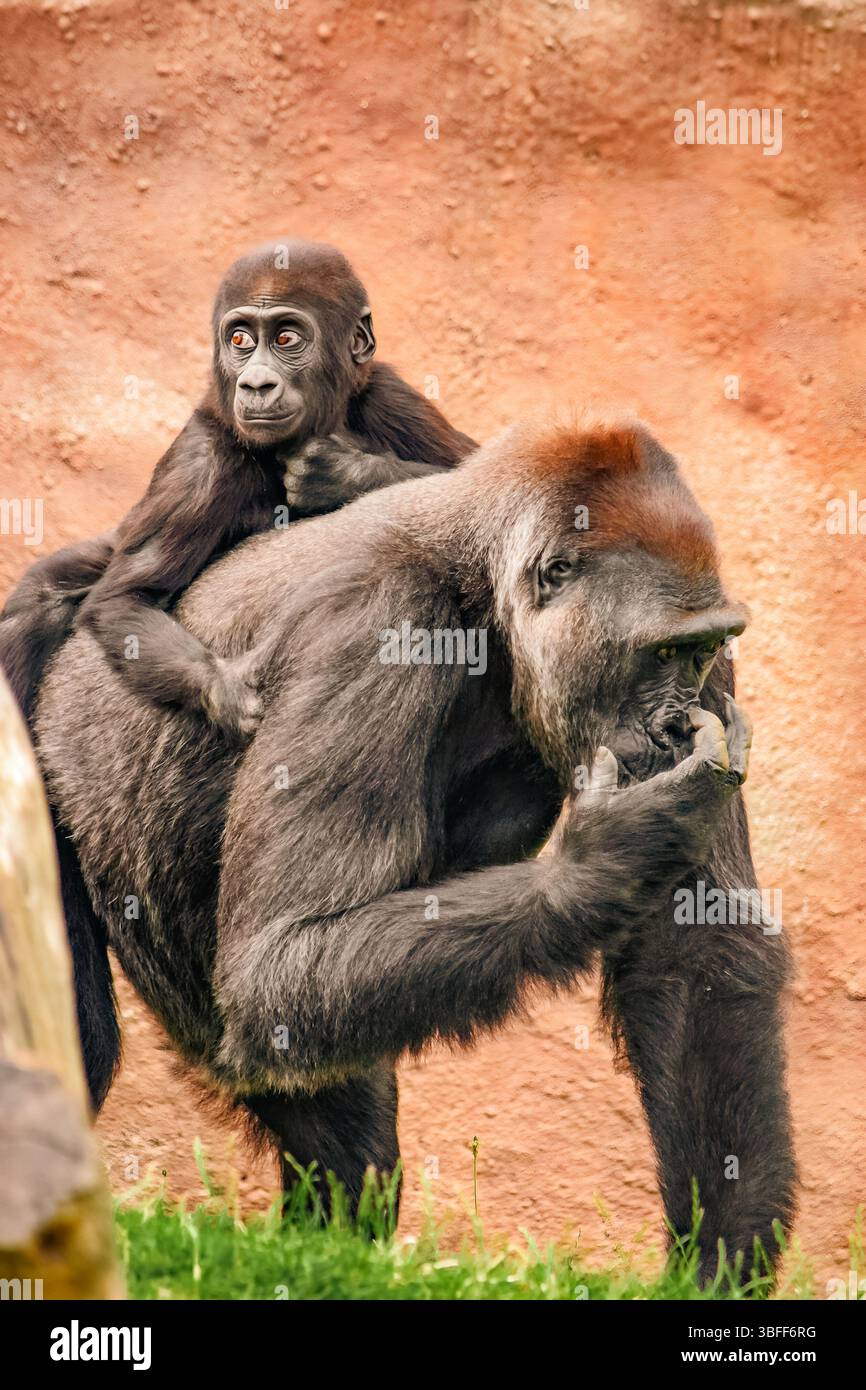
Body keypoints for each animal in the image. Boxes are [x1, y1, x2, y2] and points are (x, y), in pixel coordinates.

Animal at [0, 239, 475, 736]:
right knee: (40, 605)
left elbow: (475, 473)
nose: (256, 384)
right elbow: (124, 600)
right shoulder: (201, 468)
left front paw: (341, 472)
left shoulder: (390, 394)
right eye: (241, 341)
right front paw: (224, 689)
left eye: (286, 339)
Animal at [36, 415, 795, 1283]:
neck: (482, 588)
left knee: (340, 1124)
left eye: (698, 652)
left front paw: (722, 1261)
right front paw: (603, 859)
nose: (672, 730)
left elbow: (698, 958)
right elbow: (280, 961)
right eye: (660, 654)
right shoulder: (373, 622)